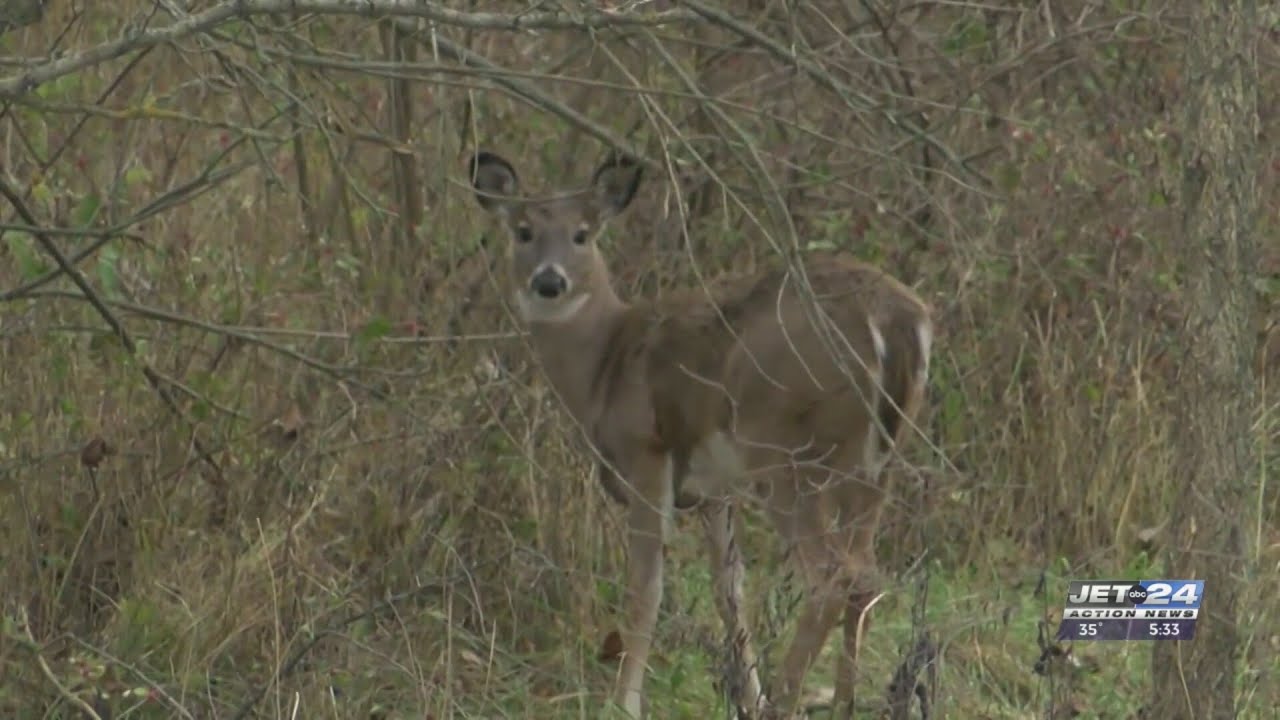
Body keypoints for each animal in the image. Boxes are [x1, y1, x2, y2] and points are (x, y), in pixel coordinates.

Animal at [468, 148, 932, 719]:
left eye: (582, 233)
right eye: (524, 231)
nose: (549, 281)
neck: (604, 364)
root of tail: (897, 319)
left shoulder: (647, 451)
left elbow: (646, 587)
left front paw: (625, 702)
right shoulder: (713, 488)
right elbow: (729, 590)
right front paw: (747, 694)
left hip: (784, 445)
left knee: (831, 574)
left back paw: (787, 698)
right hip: (878, 458)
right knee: (865, 576)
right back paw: (843, 701)